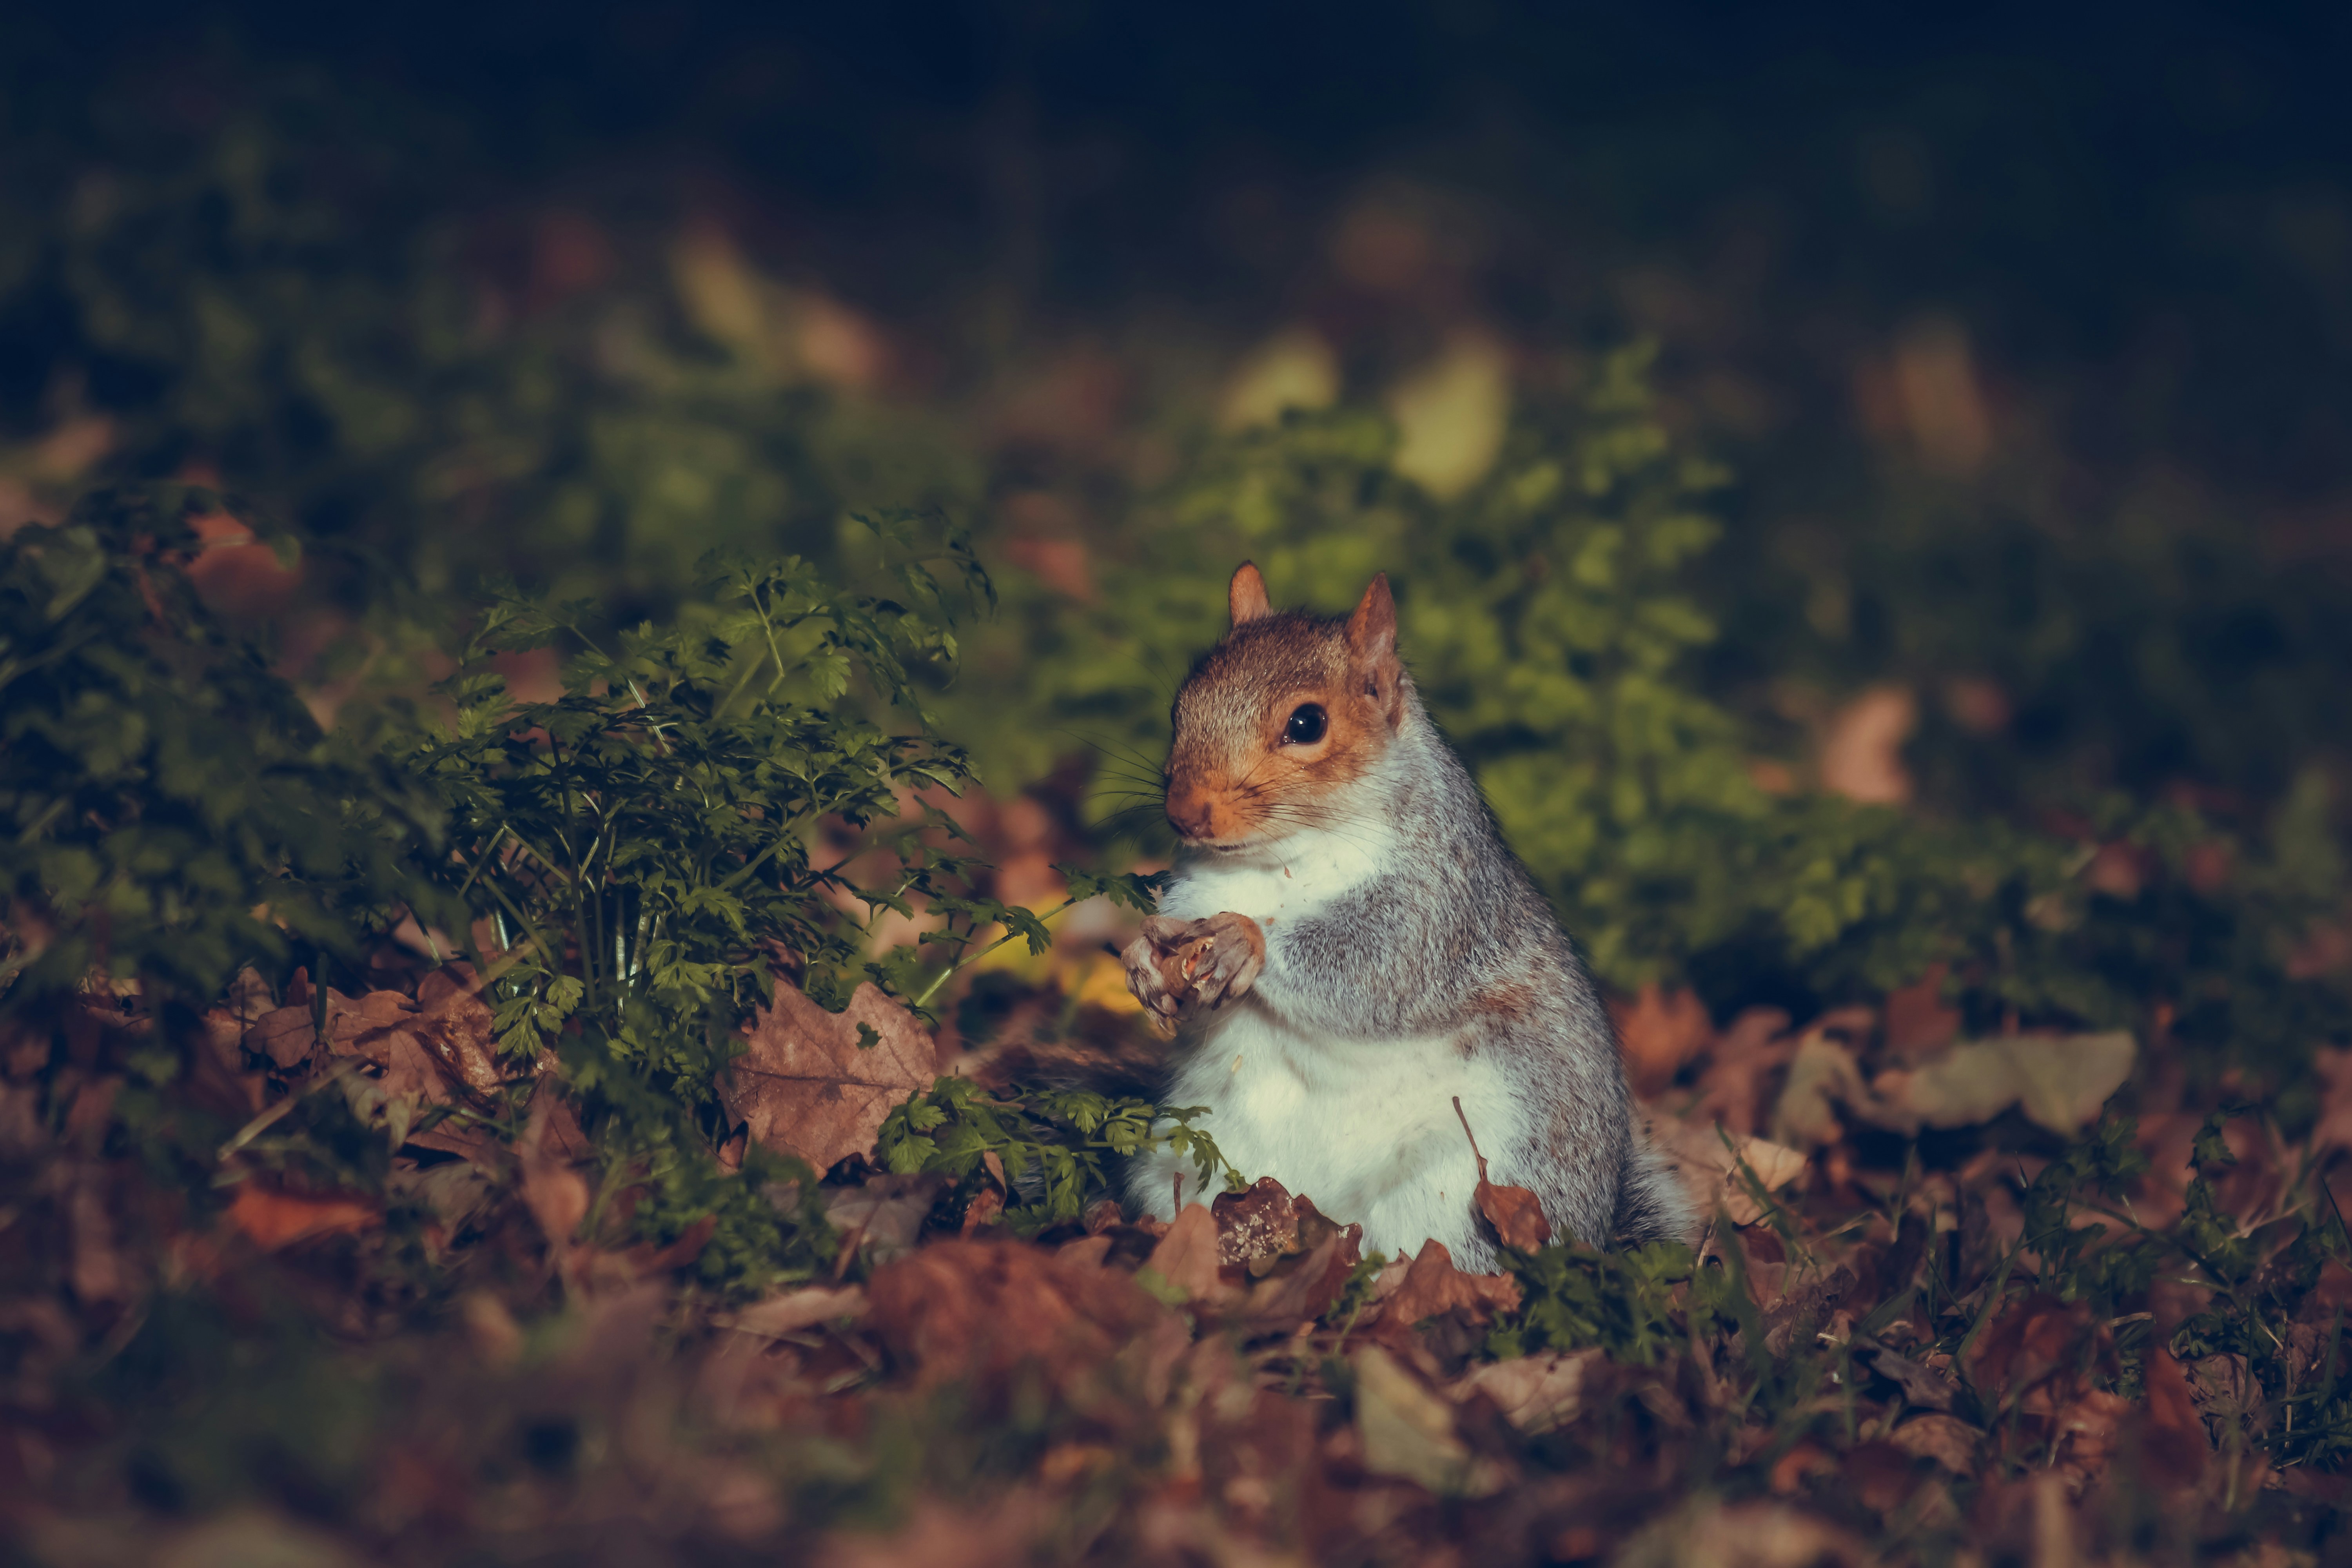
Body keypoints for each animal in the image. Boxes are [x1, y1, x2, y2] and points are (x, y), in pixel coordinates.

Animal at [1121, 563, 1691, 1270]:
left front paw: (1242, 940)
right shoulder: (1196, 887)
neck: (1274, 864)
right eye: (1181, 704)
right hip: (1184, 1159)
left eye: (1307, 723)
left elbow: (1375, 968)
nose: (1184, 810)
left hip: (1474, 1180)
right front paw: (1143, 958)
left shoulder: (1437, 904)